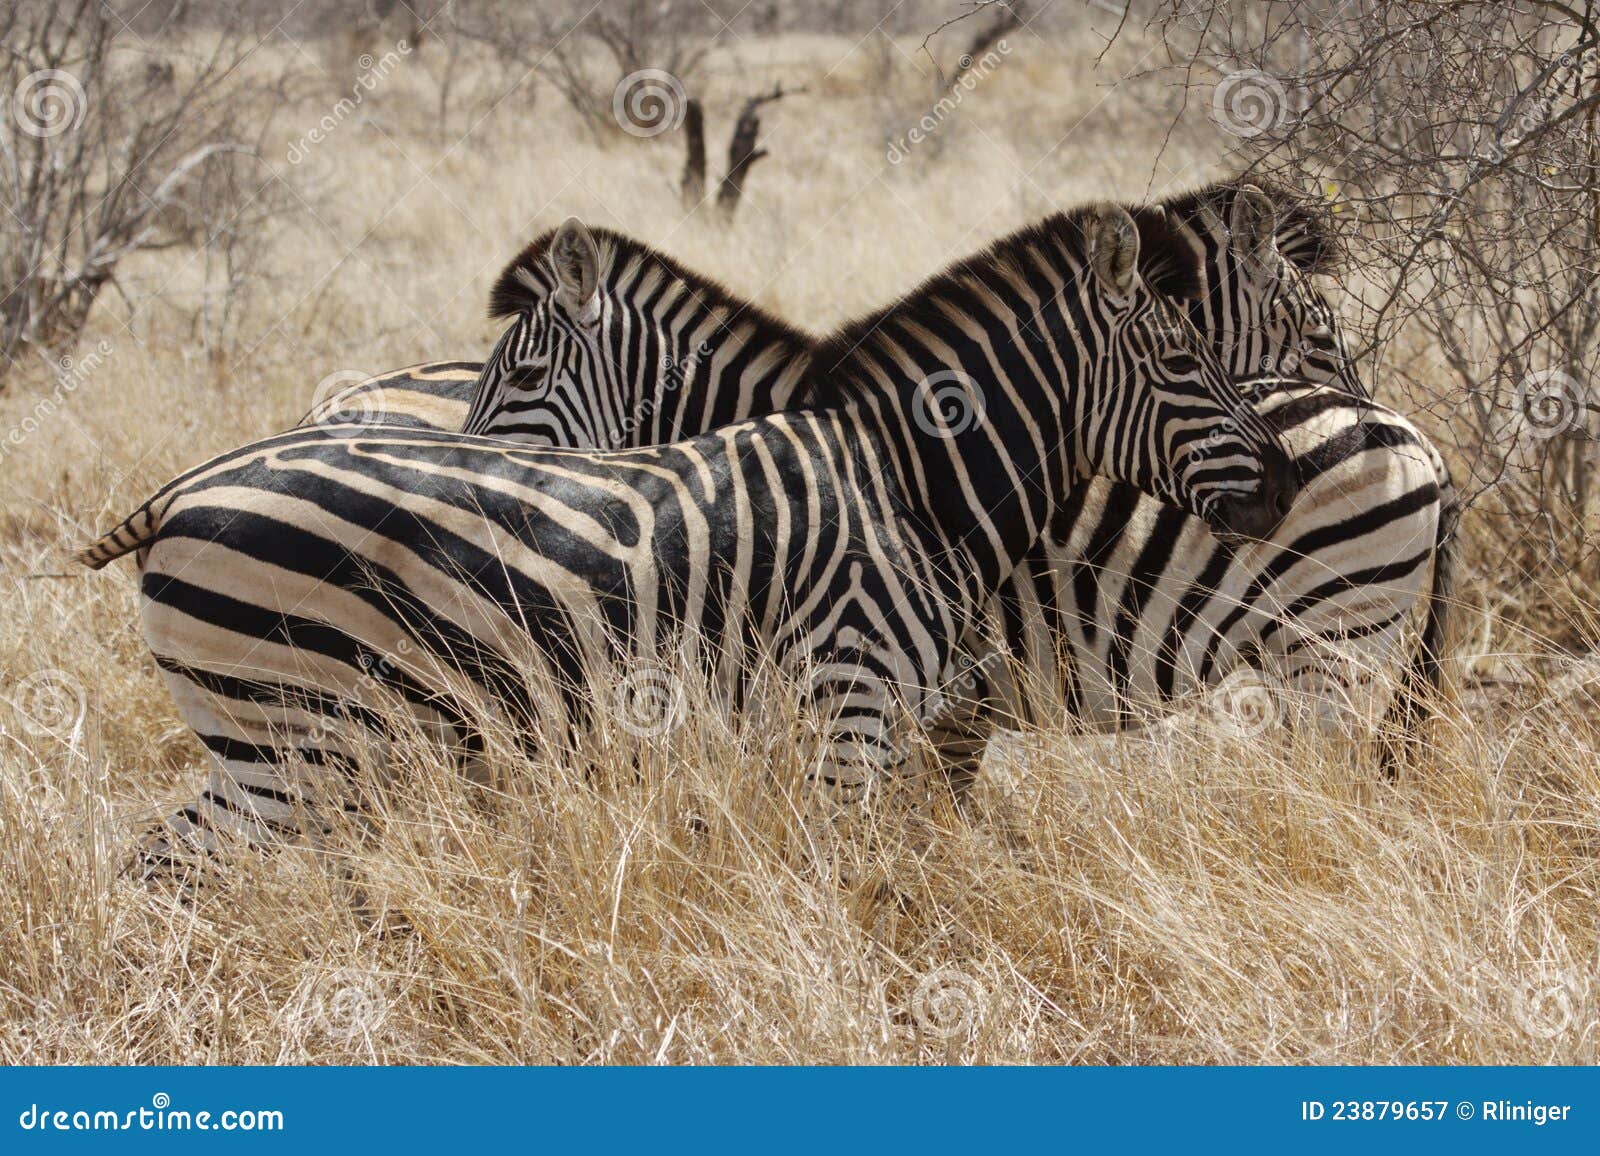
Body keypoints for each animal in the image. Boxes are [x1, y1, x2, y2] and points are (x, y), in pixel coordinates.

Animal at [79, 202, 1295, 856]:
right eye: (1182, 362)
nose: (1284, 488)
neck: (907, 485)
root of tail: (181, 491)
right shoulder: (847, 708)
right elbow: (857, 888)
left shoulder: (882, 725)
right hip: (305, 746)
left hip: (278, 749)